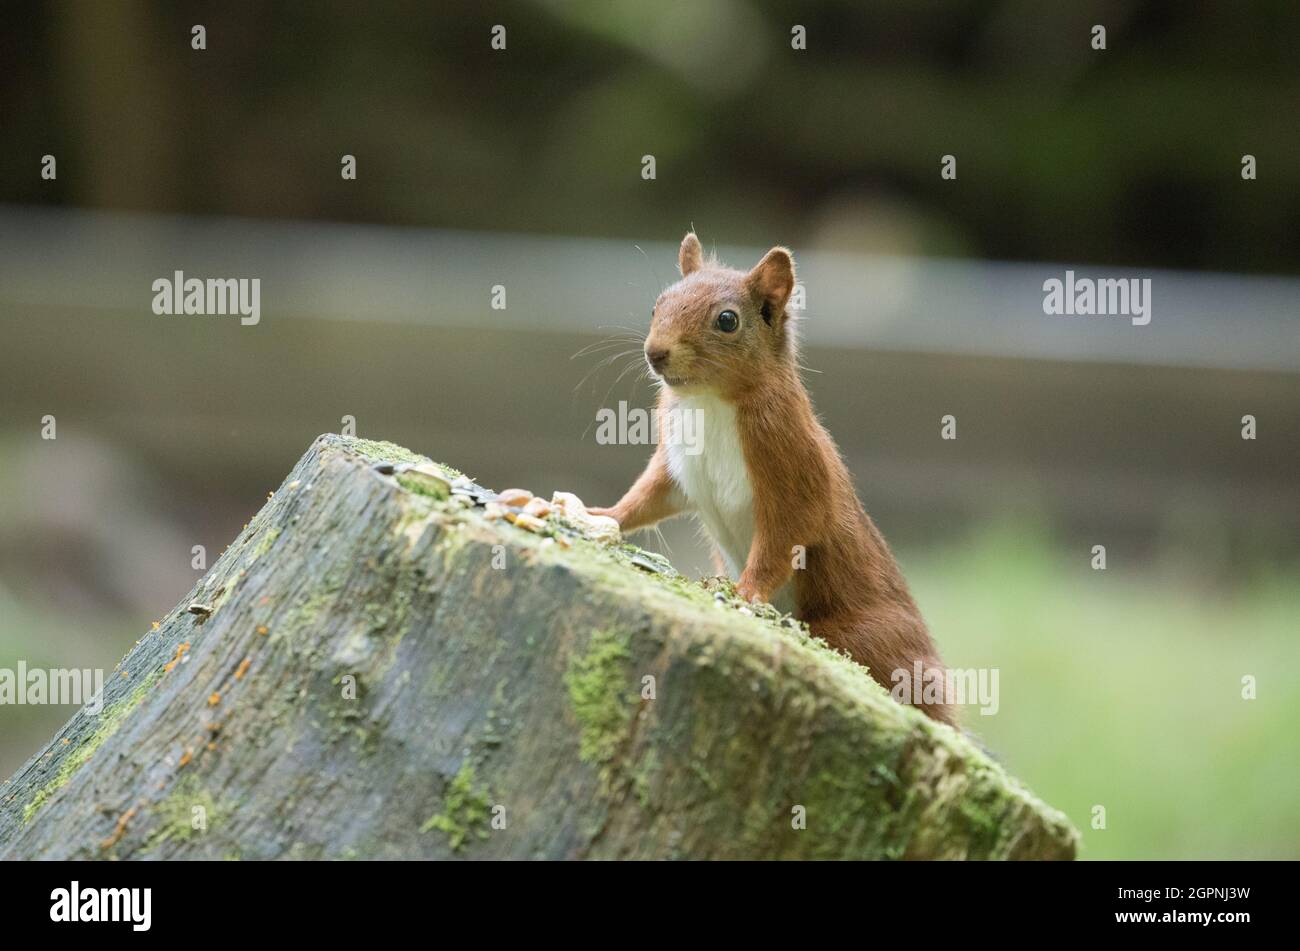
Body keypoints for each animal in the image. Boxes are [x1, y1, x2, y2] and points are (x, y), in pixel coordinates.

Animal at [590, 232, 955, 726]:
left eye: (727, 320)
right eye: (656, 305)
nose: (656, 353)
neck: (709, 402)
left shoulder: (790, 465)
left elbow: (783, 538)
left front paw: (745, 591)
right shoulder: (676, 466)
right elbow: (646, 499)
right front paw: (597, 514)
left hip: (866, 636)